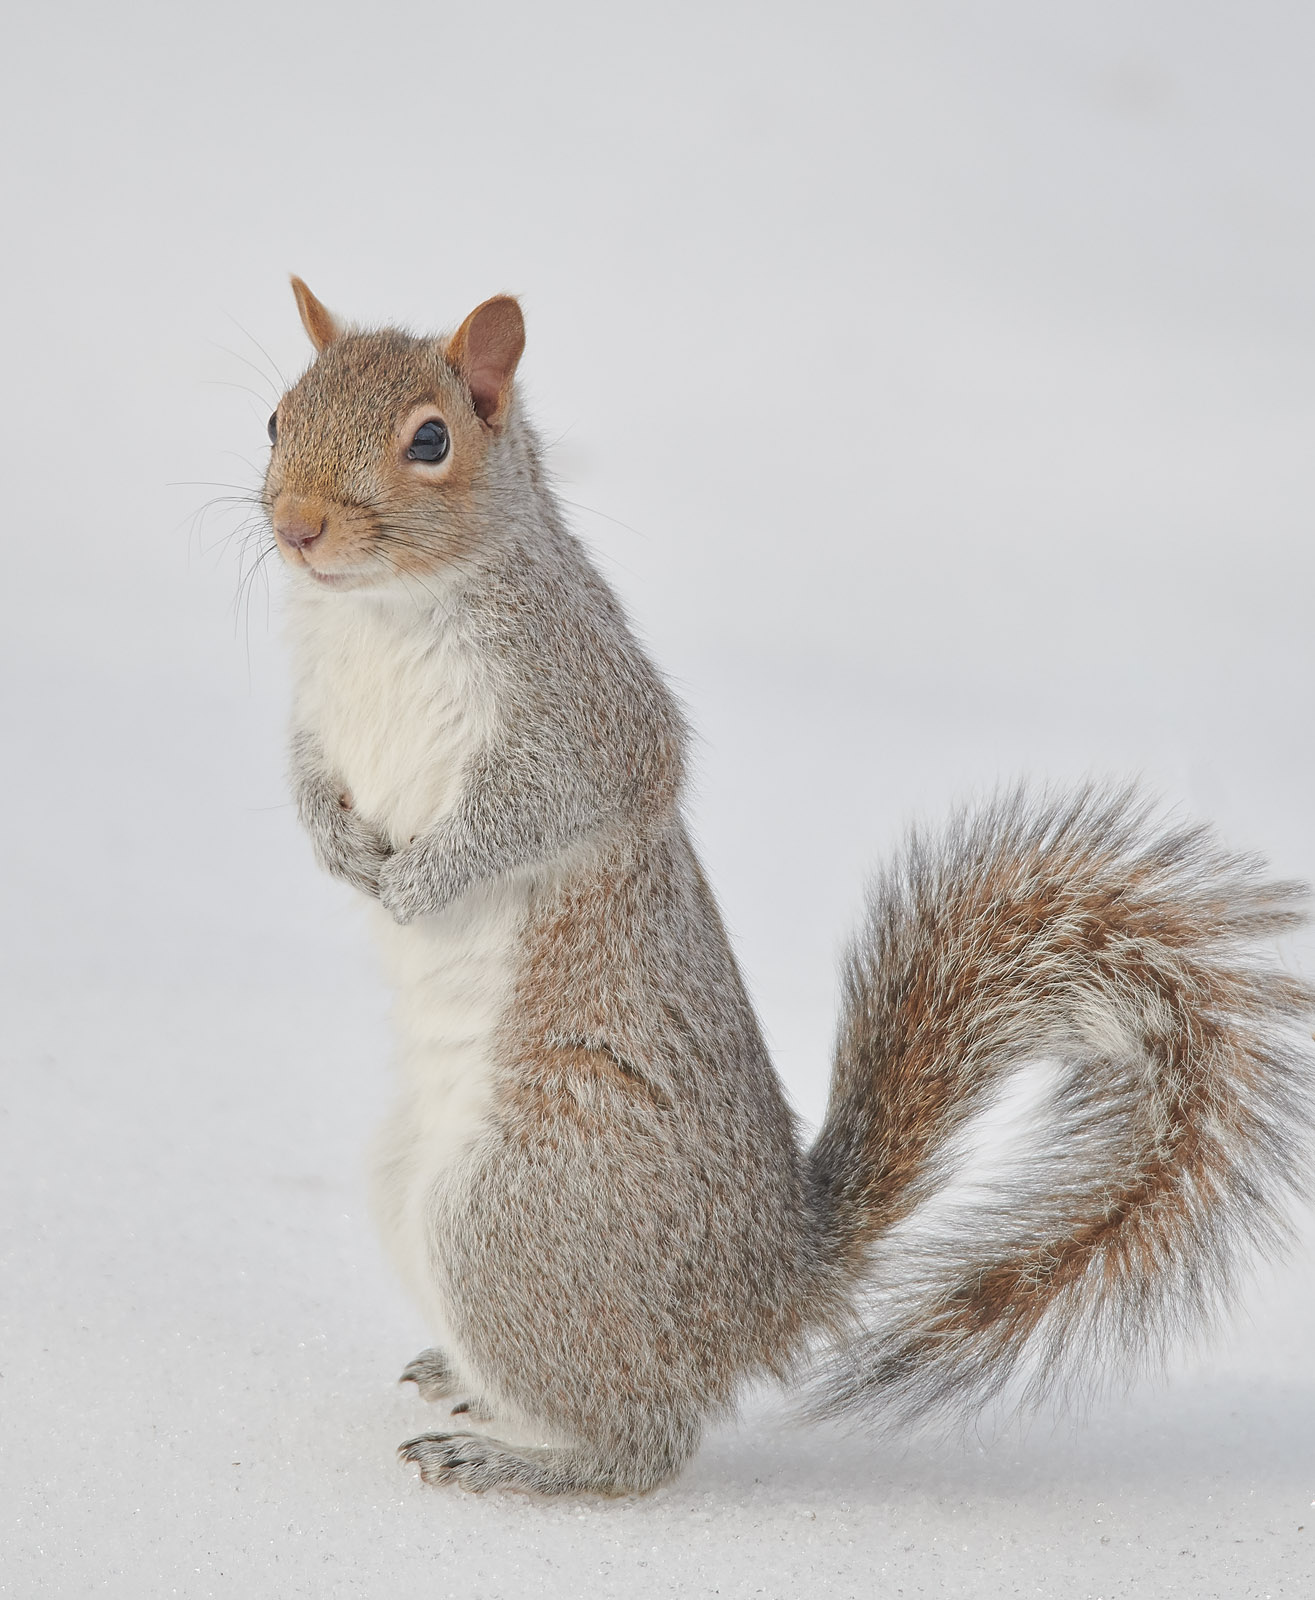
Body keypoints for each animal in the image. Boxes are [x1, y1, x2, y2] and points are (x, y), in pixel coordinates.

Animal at [261, 276, 1315, 1497]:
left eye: (429, 440)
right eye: (275, 419)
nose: (294, 526)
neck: (380, 609)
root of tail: (766, 1292)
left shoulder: (584, 715)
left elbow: (545, 806)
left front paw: (424, 876)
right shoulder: (315, 709)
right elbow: (307, 781)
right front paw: (340, 849)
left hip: (519, 1207)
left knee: (645, 1439)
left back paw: (521, 1460)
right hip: (418, 1186)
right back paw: (476, 1392)